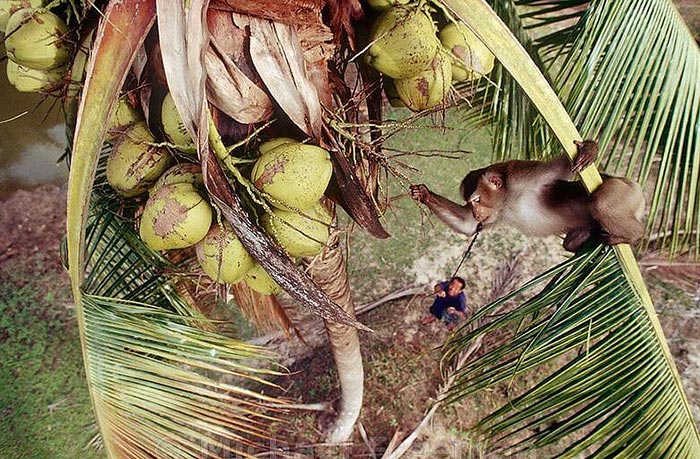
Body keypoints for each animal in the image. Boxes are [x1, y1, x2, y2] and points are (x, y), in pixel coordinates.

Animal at [410, 140, 646, 252]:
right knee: (570, 243)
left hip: (626, 191)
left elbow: (560, 168)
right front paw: (424, 194)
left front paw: (589, 150)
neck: (509, 199)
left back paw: (635, 234)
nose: (476, 212)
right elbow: (468, 226)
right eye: (470, 203)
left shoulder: (521, 176)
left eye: (477, 200)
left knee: (602, 204)